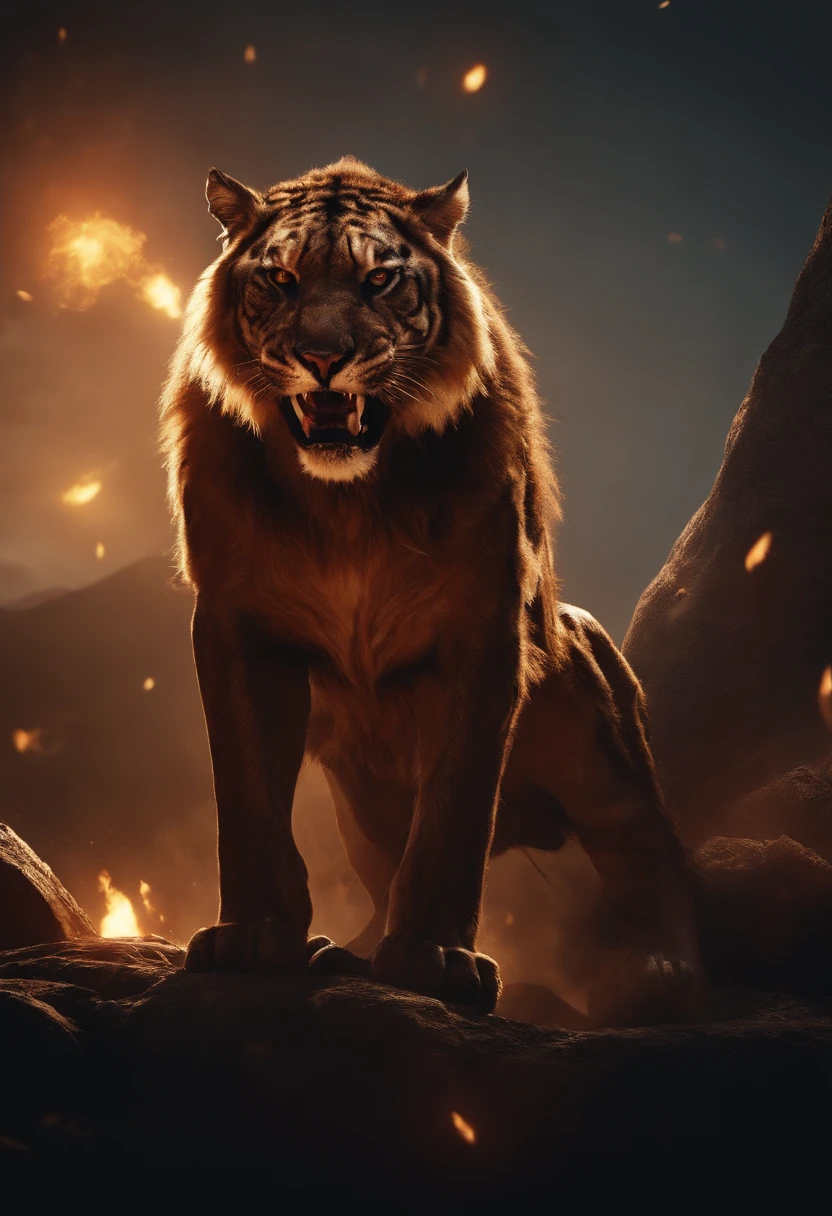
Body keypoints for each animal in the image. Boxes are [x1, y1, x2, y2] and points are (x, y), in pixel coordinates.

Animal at [160, 157, 702, 1025]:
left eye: (379, 279)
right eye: (280, 279)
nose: (323, 357)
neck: (346, 502)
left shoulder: (487, 628)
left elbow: (453, 813)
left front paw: (432, 959)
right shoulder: (234, 624)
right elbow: (246, 793)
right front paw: (252, 936)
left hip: (586, 693)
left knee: (646, 844)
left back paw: (657, 970)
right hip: (357, 785)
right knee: (380, 866)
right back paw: (345, 951)